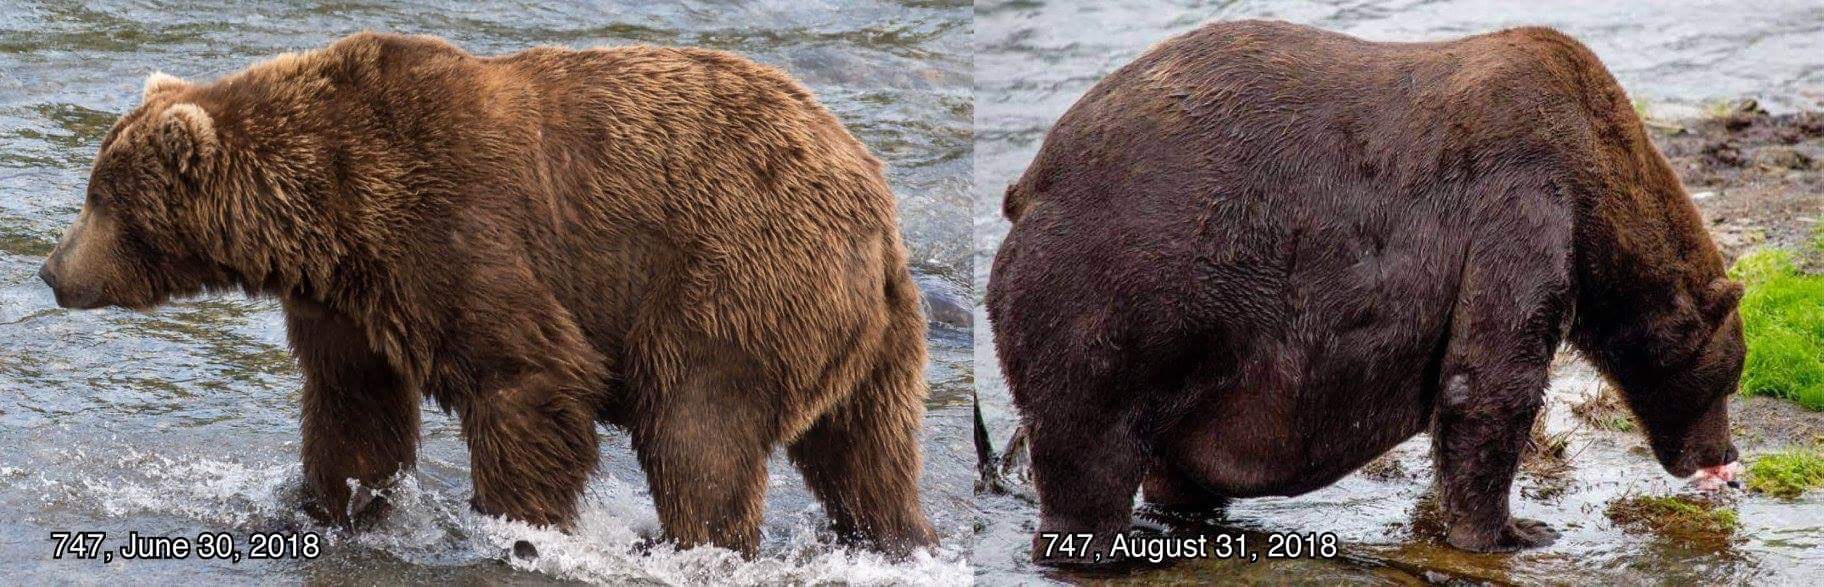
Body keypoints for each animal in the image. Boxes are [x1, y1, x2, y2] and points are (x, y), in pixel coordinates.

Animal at [37, 32, 936, 555]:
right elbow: (353, 406)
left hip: (734, 276)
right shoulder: (347, 300)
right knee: (867, 453)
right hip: (870, 338)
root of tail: (877, 211)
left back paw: (692, 541)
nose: (50, 270)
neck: (325, 213)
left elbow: (525, 377)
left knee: (698, 426)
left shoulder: (453, 228)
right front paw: (327, 503)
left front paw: (516, 519)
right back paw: (894, 536)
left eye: (100, 197)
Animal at [987, 20, 1745, 565]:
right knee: (1089, 438)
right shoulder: (1522, 201)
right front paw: (1514, 529)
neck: (1600, 200)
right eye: (1729, 377)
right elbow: (1490, 378)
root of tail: (1030, 182)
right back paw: (1100, 547)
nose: (1725, 457)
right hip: (1119, 288)